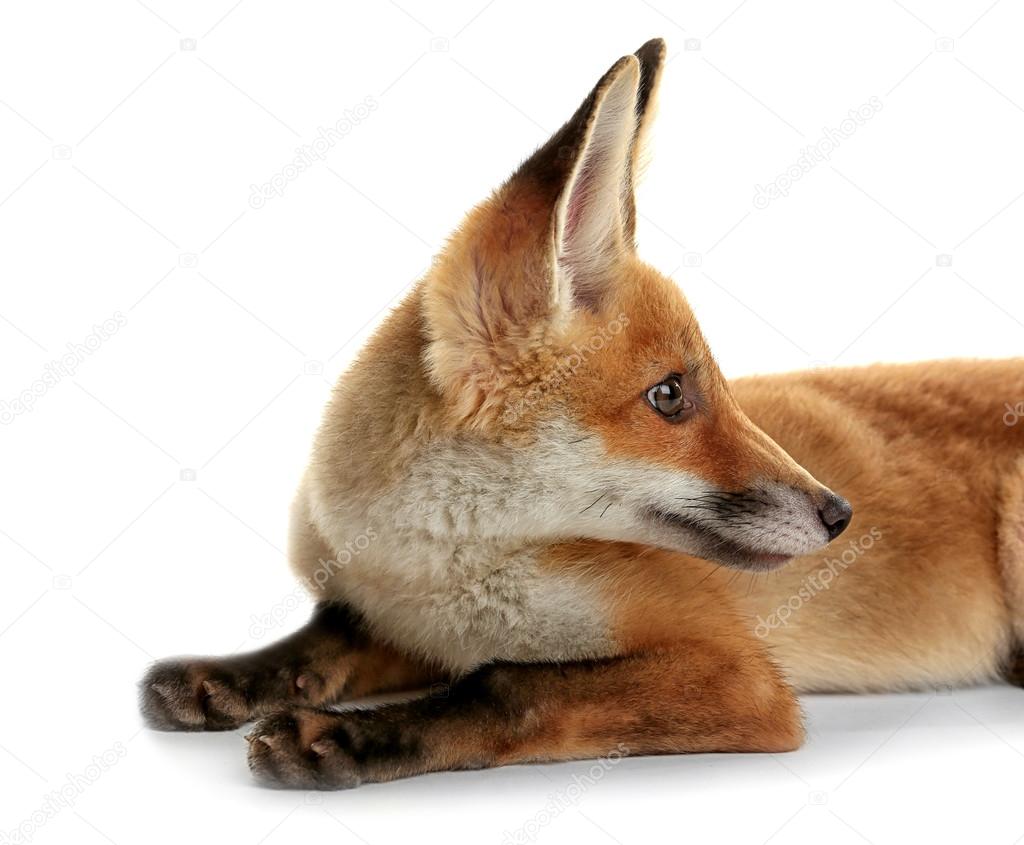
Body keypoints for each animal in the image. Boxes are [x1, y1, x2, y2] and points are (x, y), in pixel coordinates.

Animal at [140, 38, 1024, 789]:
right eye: (670, 394)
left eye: (709, 387)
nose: (841, 514)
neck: (433, 578)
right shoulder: (394, 614)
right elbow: (323, 639)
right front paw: (230, 676)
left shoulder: (737, 674)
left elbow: (511, 687)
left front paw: (351, 735)